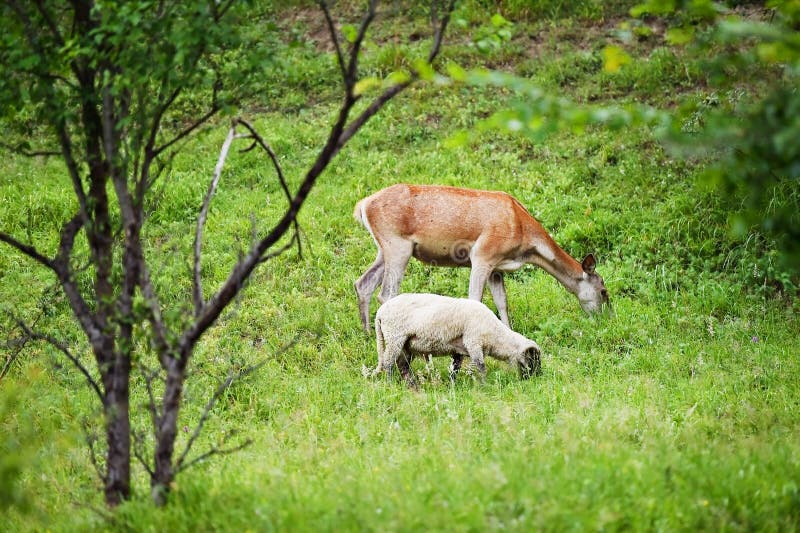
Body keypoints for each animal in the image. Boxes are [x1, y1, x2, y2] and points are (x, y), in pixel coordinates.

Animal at [353, 183, 610, 331]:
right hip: (398, 244)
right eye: (603, 291)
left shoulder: (497, 266)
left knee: (363, 283)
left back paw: (367, 333)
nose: (607, 316)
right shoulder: (483, 254)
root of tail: (363, 205)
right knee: (386, 294)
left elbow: (502, 302)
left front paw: (510, 332)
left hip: (384, 249)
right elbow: (475, 300)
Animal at [372, 293, 541, 387]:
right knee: (388, 363)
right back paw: (391, 384)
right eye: (533, 358)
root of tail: (380, 312)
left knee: (403, 365)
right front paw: (484, 385)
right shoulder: (473, 343)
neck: (496, 337)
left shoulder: (459, 350)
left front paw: (452, 386)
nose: (538, 377)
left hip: (406, 345)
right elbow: (481, 367)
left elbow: (454, 369)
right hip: (395, 337)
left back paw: (412, 386)